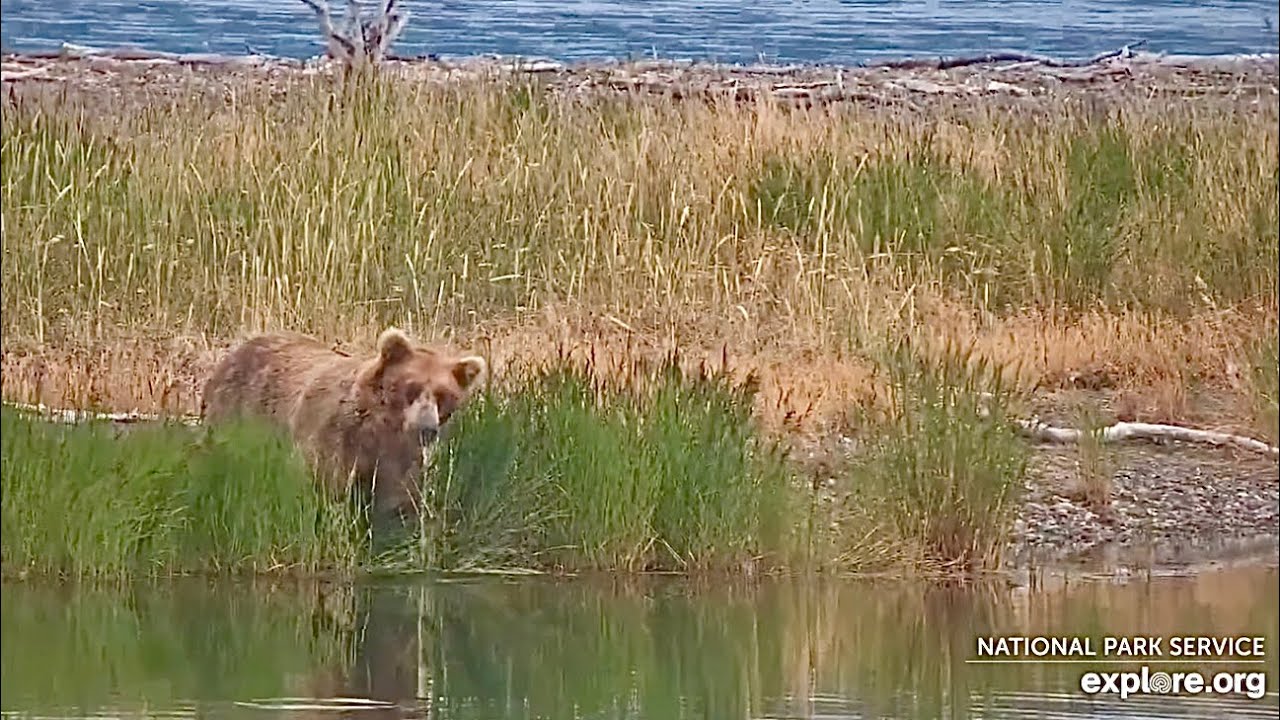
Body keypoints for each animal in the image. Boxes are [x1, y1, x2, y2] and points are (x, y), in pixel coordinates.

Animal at [200, 327, 487, 519]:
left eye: (444, 396)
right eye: (412, 388)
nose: (426, 429)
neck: (379, 429)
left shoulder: (398, 458)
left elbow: (396, 499)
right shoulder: (333, 439)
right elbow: (325, 485)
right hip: (236, 413)